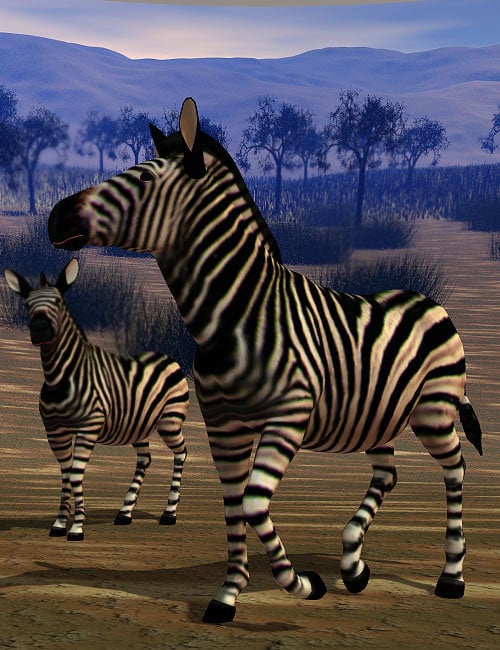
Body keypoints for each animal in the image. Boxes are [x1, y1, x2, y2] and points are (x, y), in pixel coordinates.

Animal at [4, 258, 189, 541]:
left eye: (58, 302)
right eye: (26, 305)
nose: (40, 330)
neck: (60, 378)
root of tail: (170, 358)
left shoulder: (88, 427)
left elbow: (76, 475)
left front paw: (77, 527)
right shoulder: (55, 431)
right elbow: (66, 474)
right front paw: (60, 524)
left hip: (170, 420)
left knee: (181, 453)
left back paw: (169, 514)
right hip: (138, 425)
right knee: (145, 458)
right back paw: (125, 512)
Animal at [48, 97, 483, 622]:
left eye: (143, 179)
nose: (54, 218)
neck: (238, 316)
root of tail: (430, 300)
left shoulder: (287, 418)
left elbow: (255, 504)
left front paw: (304, 585)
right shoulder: (223, 426)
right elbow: (235, 505)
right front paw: (228, 594)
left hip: (434, 411)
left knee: (456, 469)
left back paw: (451, 577)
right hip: (377, 415)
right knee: (388, 472)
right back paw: (354, 565)